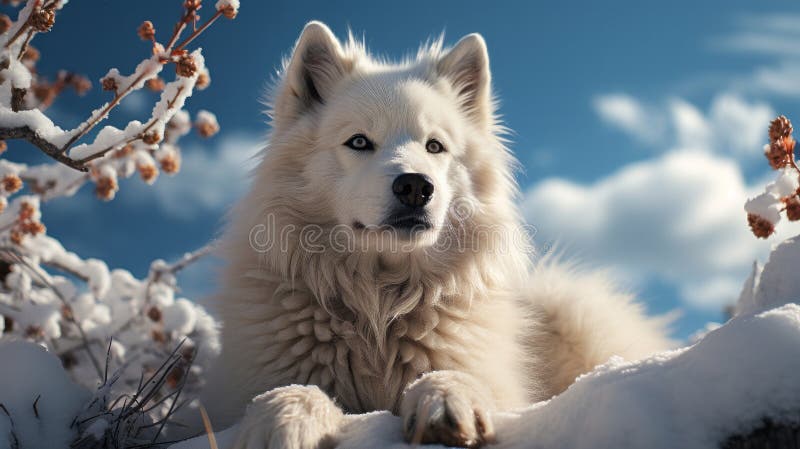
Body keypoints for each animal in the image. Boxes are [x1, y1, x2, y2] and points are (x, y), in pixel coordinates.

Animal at [196, 21, 672, 449]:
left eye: (435, 147)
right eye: (359, 142)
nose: (415, 186)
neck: (379, 306)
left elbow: (451, 373)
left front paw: (445, 400)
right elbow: (288, 390)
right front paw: (285, 419)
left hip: (568, 302)